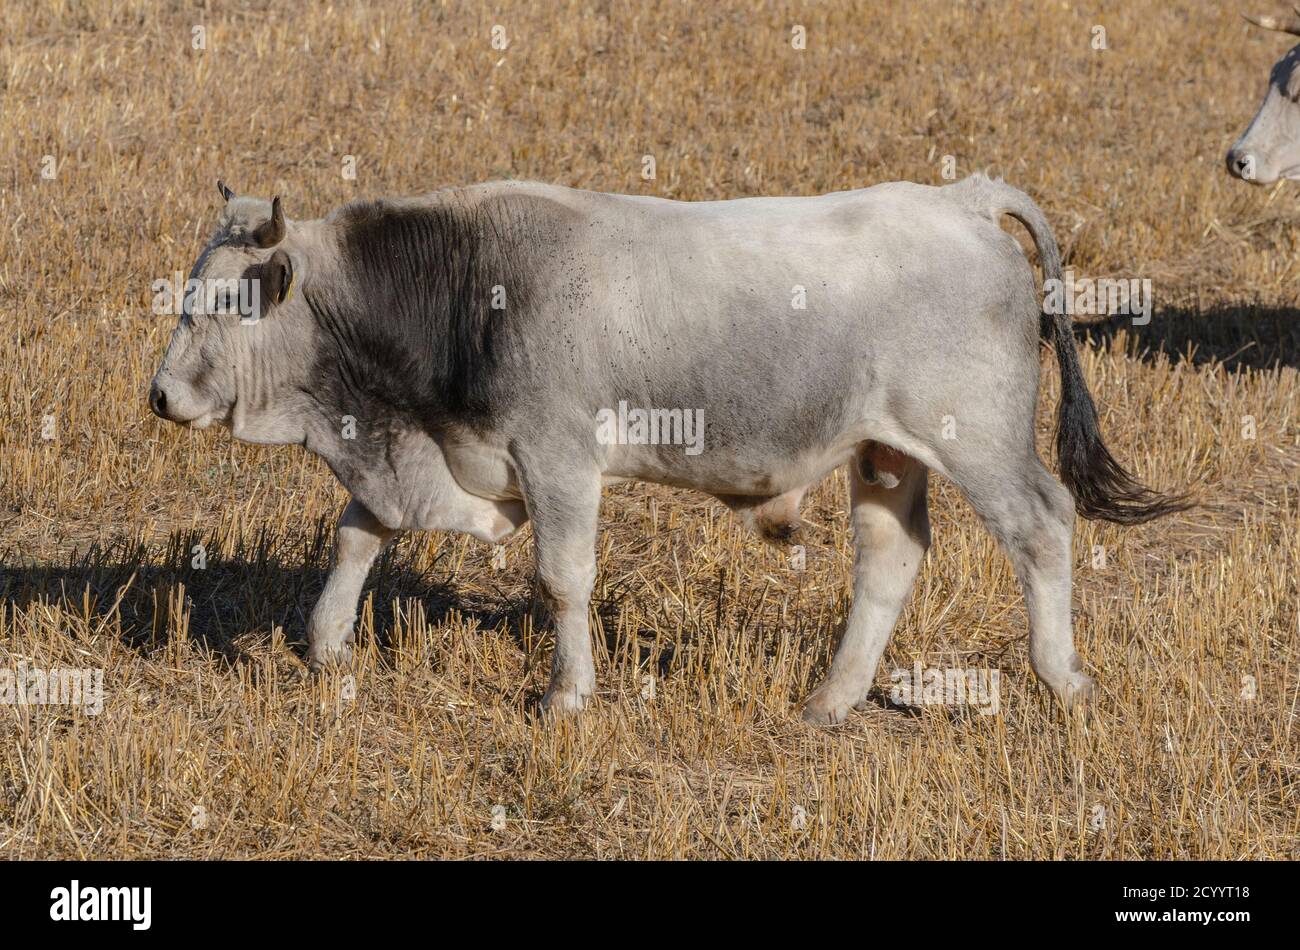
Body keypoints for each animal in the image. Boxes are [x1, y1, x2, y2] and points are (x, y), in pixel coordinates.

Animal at [149, 174, 1186, 723]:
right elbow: (358, 532)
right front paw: (326, 647)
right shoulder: (435, 461)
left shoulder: (558, 461)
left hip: (979, 442)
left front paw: (567, 698)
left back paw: (1063, 680)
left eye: (222, 302)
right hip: (885, 455)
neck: (466, 285)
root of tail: (961, 197)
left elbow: (562, 580)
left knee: (1043, 527)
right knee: (891, 557)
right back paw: (832, 698)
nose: (159, 396)